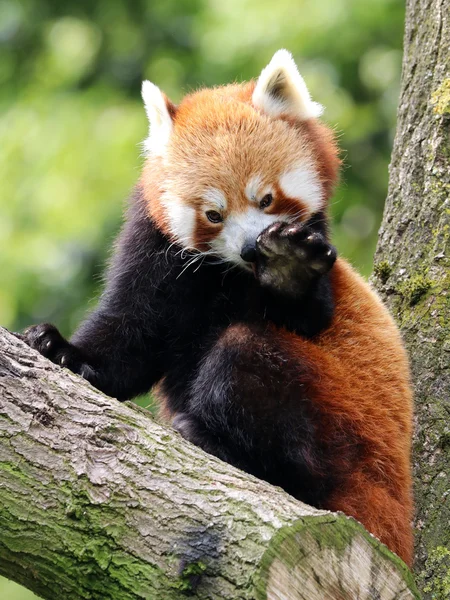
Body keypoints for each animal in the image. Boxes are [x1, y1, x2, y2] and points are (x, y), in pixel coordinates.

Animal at [24, 49, 414, 564]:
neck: (227, 275)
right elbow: (130, 338)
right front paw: (59, 349)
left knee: (244, 354)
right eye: (213, 214)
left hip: (348, 424)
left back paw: (220, 442)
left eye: (266, 199)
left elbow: (308, 317)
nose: (251, 248)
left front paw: (287, 267)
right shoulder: (155, 253)